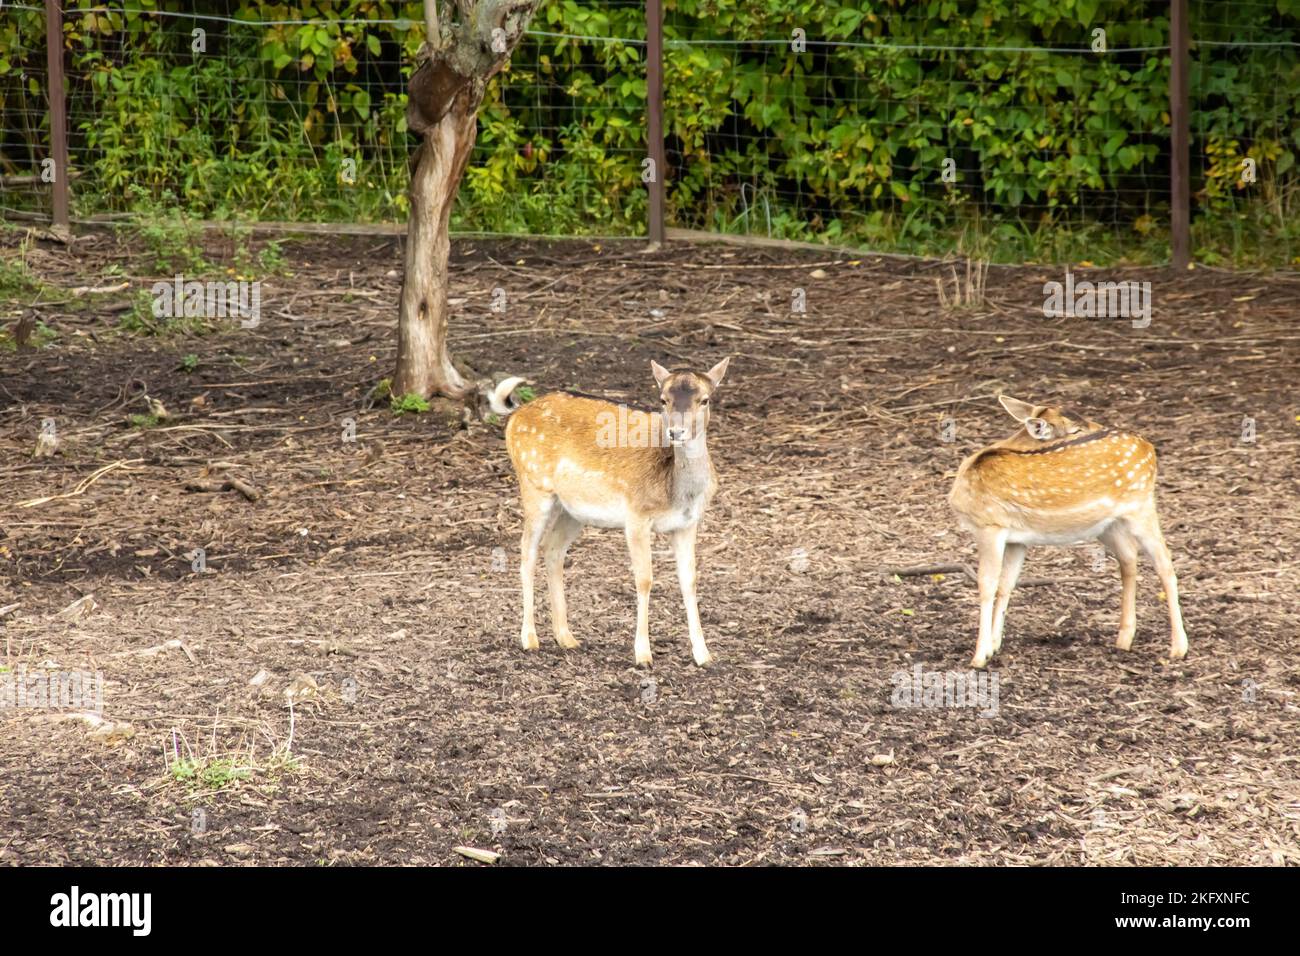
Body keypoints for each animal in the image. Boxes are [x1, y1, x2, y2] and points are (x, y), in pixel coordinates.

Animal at [498, 358, 731, 668]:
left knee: (552, 549)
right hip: (534, 485)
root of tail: (515, 415)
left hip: (572, 510)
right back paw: (529, 639)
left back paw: (566, 637)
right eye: (663, 399)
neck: (677, 491)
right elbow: (644, 580)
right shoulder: (636, 516)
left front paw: (704, 655)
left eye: (704, 399)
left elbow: (689, 581)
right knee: (526, 551)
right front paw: (643, 654)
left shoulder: (687, 524)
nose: (676, 432)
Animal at [949, 395, 1188, 669]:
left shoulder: (990, 526)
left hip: (1140, 505)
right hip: (1108, 524)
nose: (1100, 428)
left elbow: (986, 585)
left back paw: (1178, 648)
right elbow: (1006, 584)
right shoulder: (1017, 539)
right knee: (1129, 558)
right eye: (1074, 429)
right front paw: (994, 647)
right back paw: (1124, 639)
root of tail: (1148, 447)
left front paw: (979, 656)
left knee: (1164, 562)